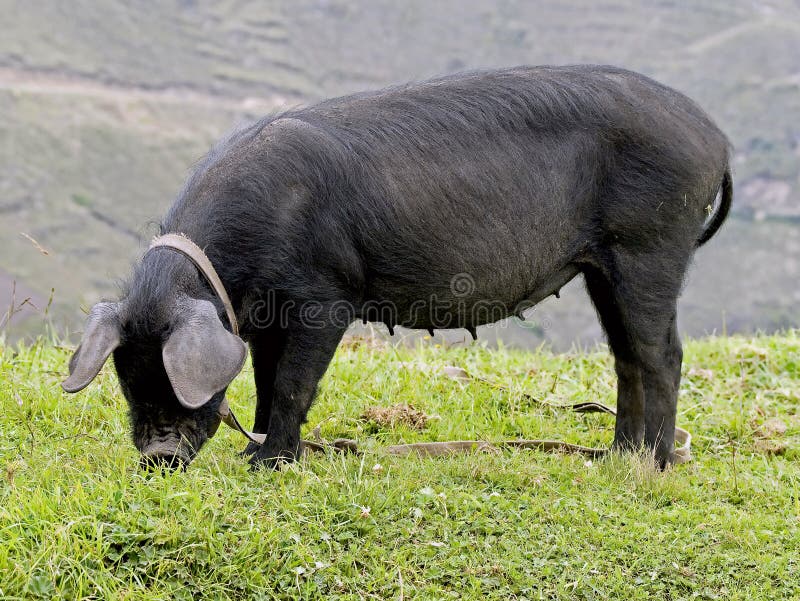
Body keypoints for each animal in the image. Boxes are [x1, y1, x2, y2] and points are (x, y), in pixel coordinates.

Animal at [62, 65, 732, 470]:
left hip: (650, 242)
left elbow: (293, 382)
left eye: (171, 376)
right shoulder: (263, 320)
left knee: (662, 353)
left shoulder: (325, 295)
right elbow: (263, 379)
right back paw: (618, 456)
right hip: (602, 266)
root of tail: (714, 139)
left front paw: (268, 462)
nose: (156, 458)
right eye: (128, 377)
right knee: (625, 355)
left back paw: (656, 464)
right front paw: (261, 450)